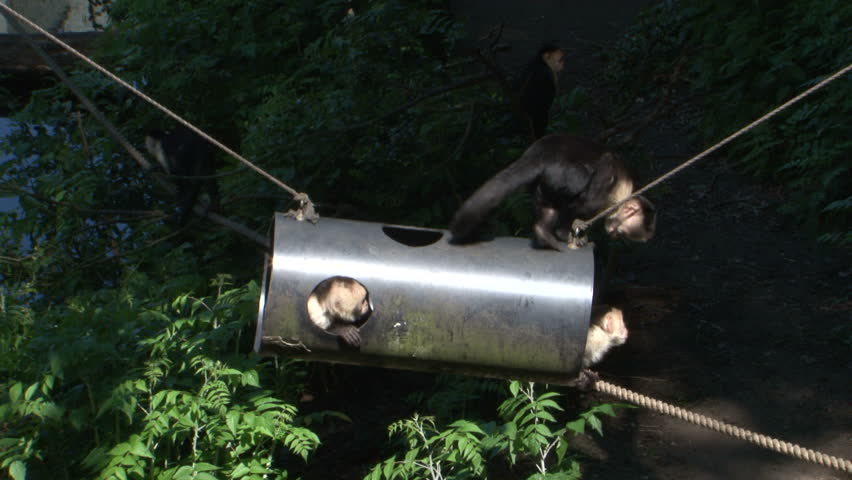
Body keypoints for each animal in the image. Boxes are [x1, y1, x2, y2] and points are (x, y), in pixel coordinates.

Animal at [449, 134, 656, 251]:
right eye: (621, 232)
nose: (613, 235)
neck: (621, 198)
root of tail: (539, 152)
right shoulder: (614, 183)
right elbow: (592, 197)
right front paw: (567, 232)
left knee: (549, 205)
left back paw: (542, 231)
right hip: (562, 172)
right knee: (580, 184)